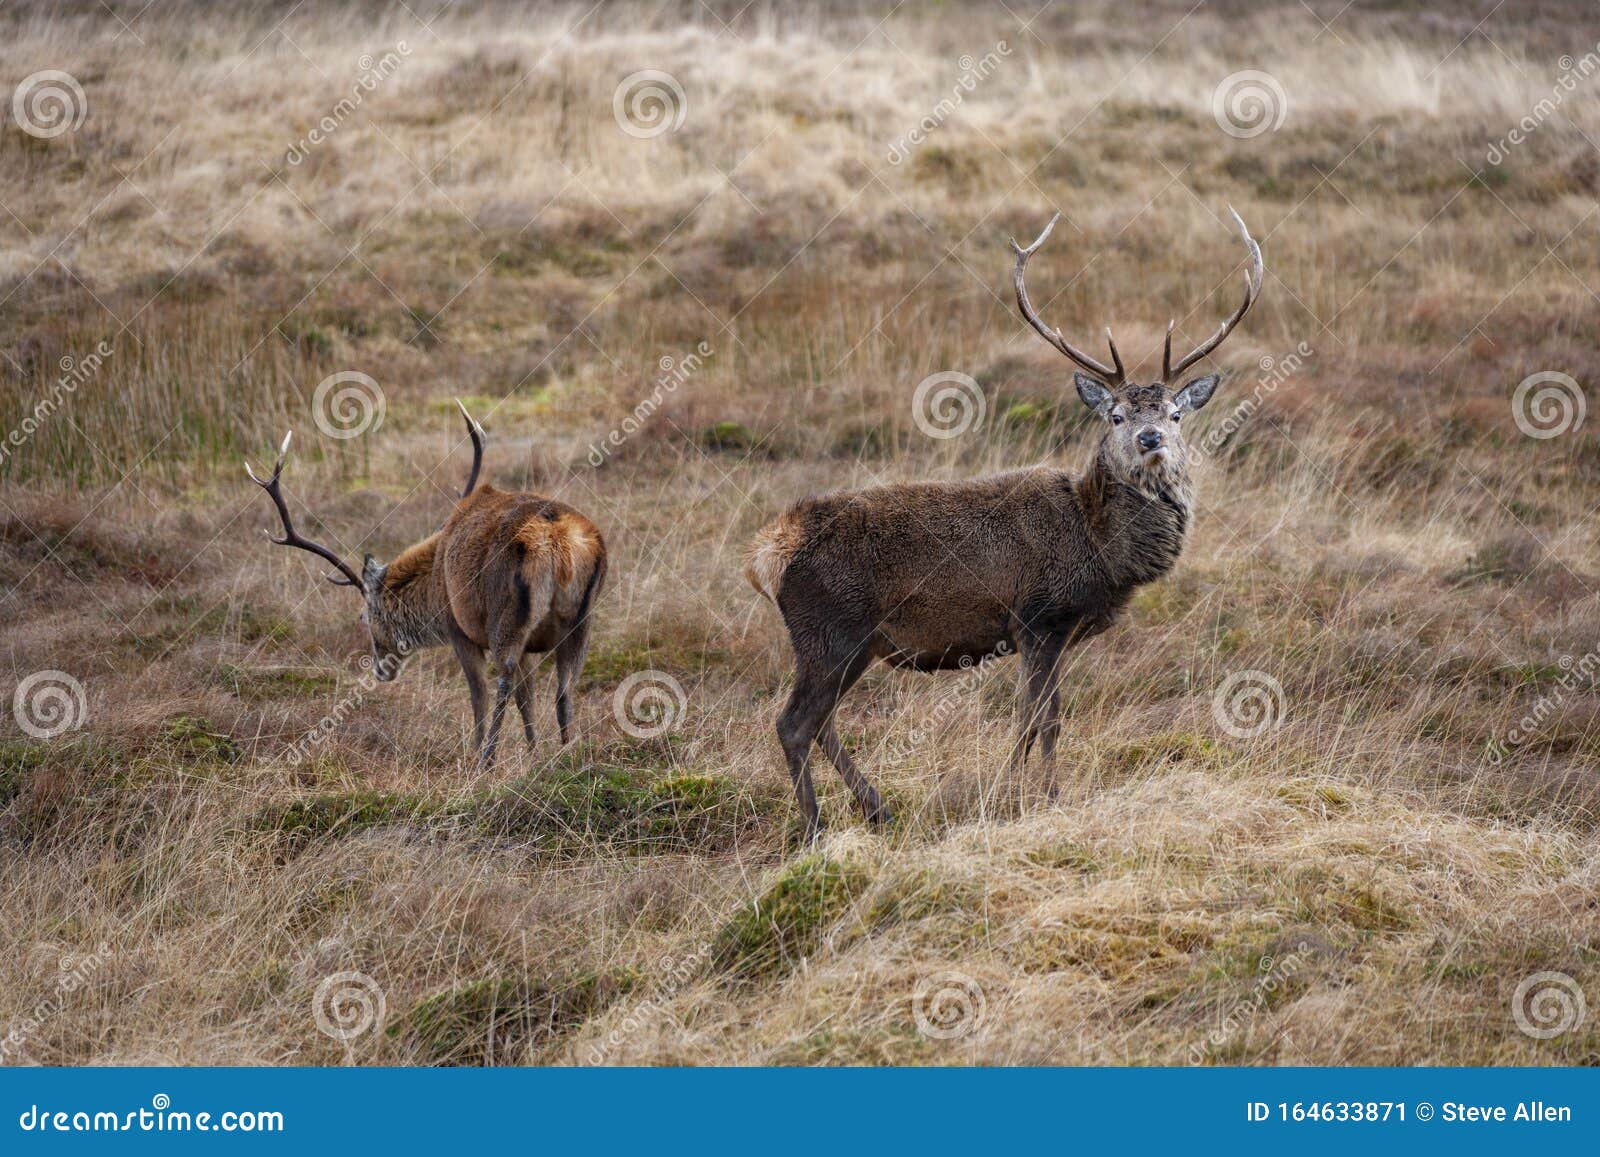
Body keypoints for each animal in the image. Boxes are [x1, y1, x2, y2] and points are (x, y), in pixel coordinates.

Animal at [247, 402, 607, 769]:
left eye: (364, 617)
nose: (381, 669)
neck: (433, 580)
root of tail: (559, 538)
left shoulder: (458, 629)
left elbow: (479, 693)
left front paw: (479, 752)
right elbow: (528, 696)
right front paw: (533, 752)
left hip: (506, 616)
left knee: (502, 681)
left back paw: (487, 758)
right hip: (583, 618)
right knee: (565, 689)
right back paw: (568, 753)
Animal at [745, 207, 1263, 839]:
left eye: (1175, 413)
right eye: (1115, 415)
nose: (1150, 438)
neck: (1099, 547)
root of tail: (768, 553)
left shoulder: (1049, 631)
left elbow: (1033, 718)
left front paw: (1017, 790)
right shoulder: (1037, 617)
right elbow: (1041, 720)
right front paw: (1039, 797)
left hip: (849, 642)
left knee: (821, 723)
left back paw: (878, 808)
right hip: (830, 629)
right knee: (794, 723)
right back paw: (818, 827)